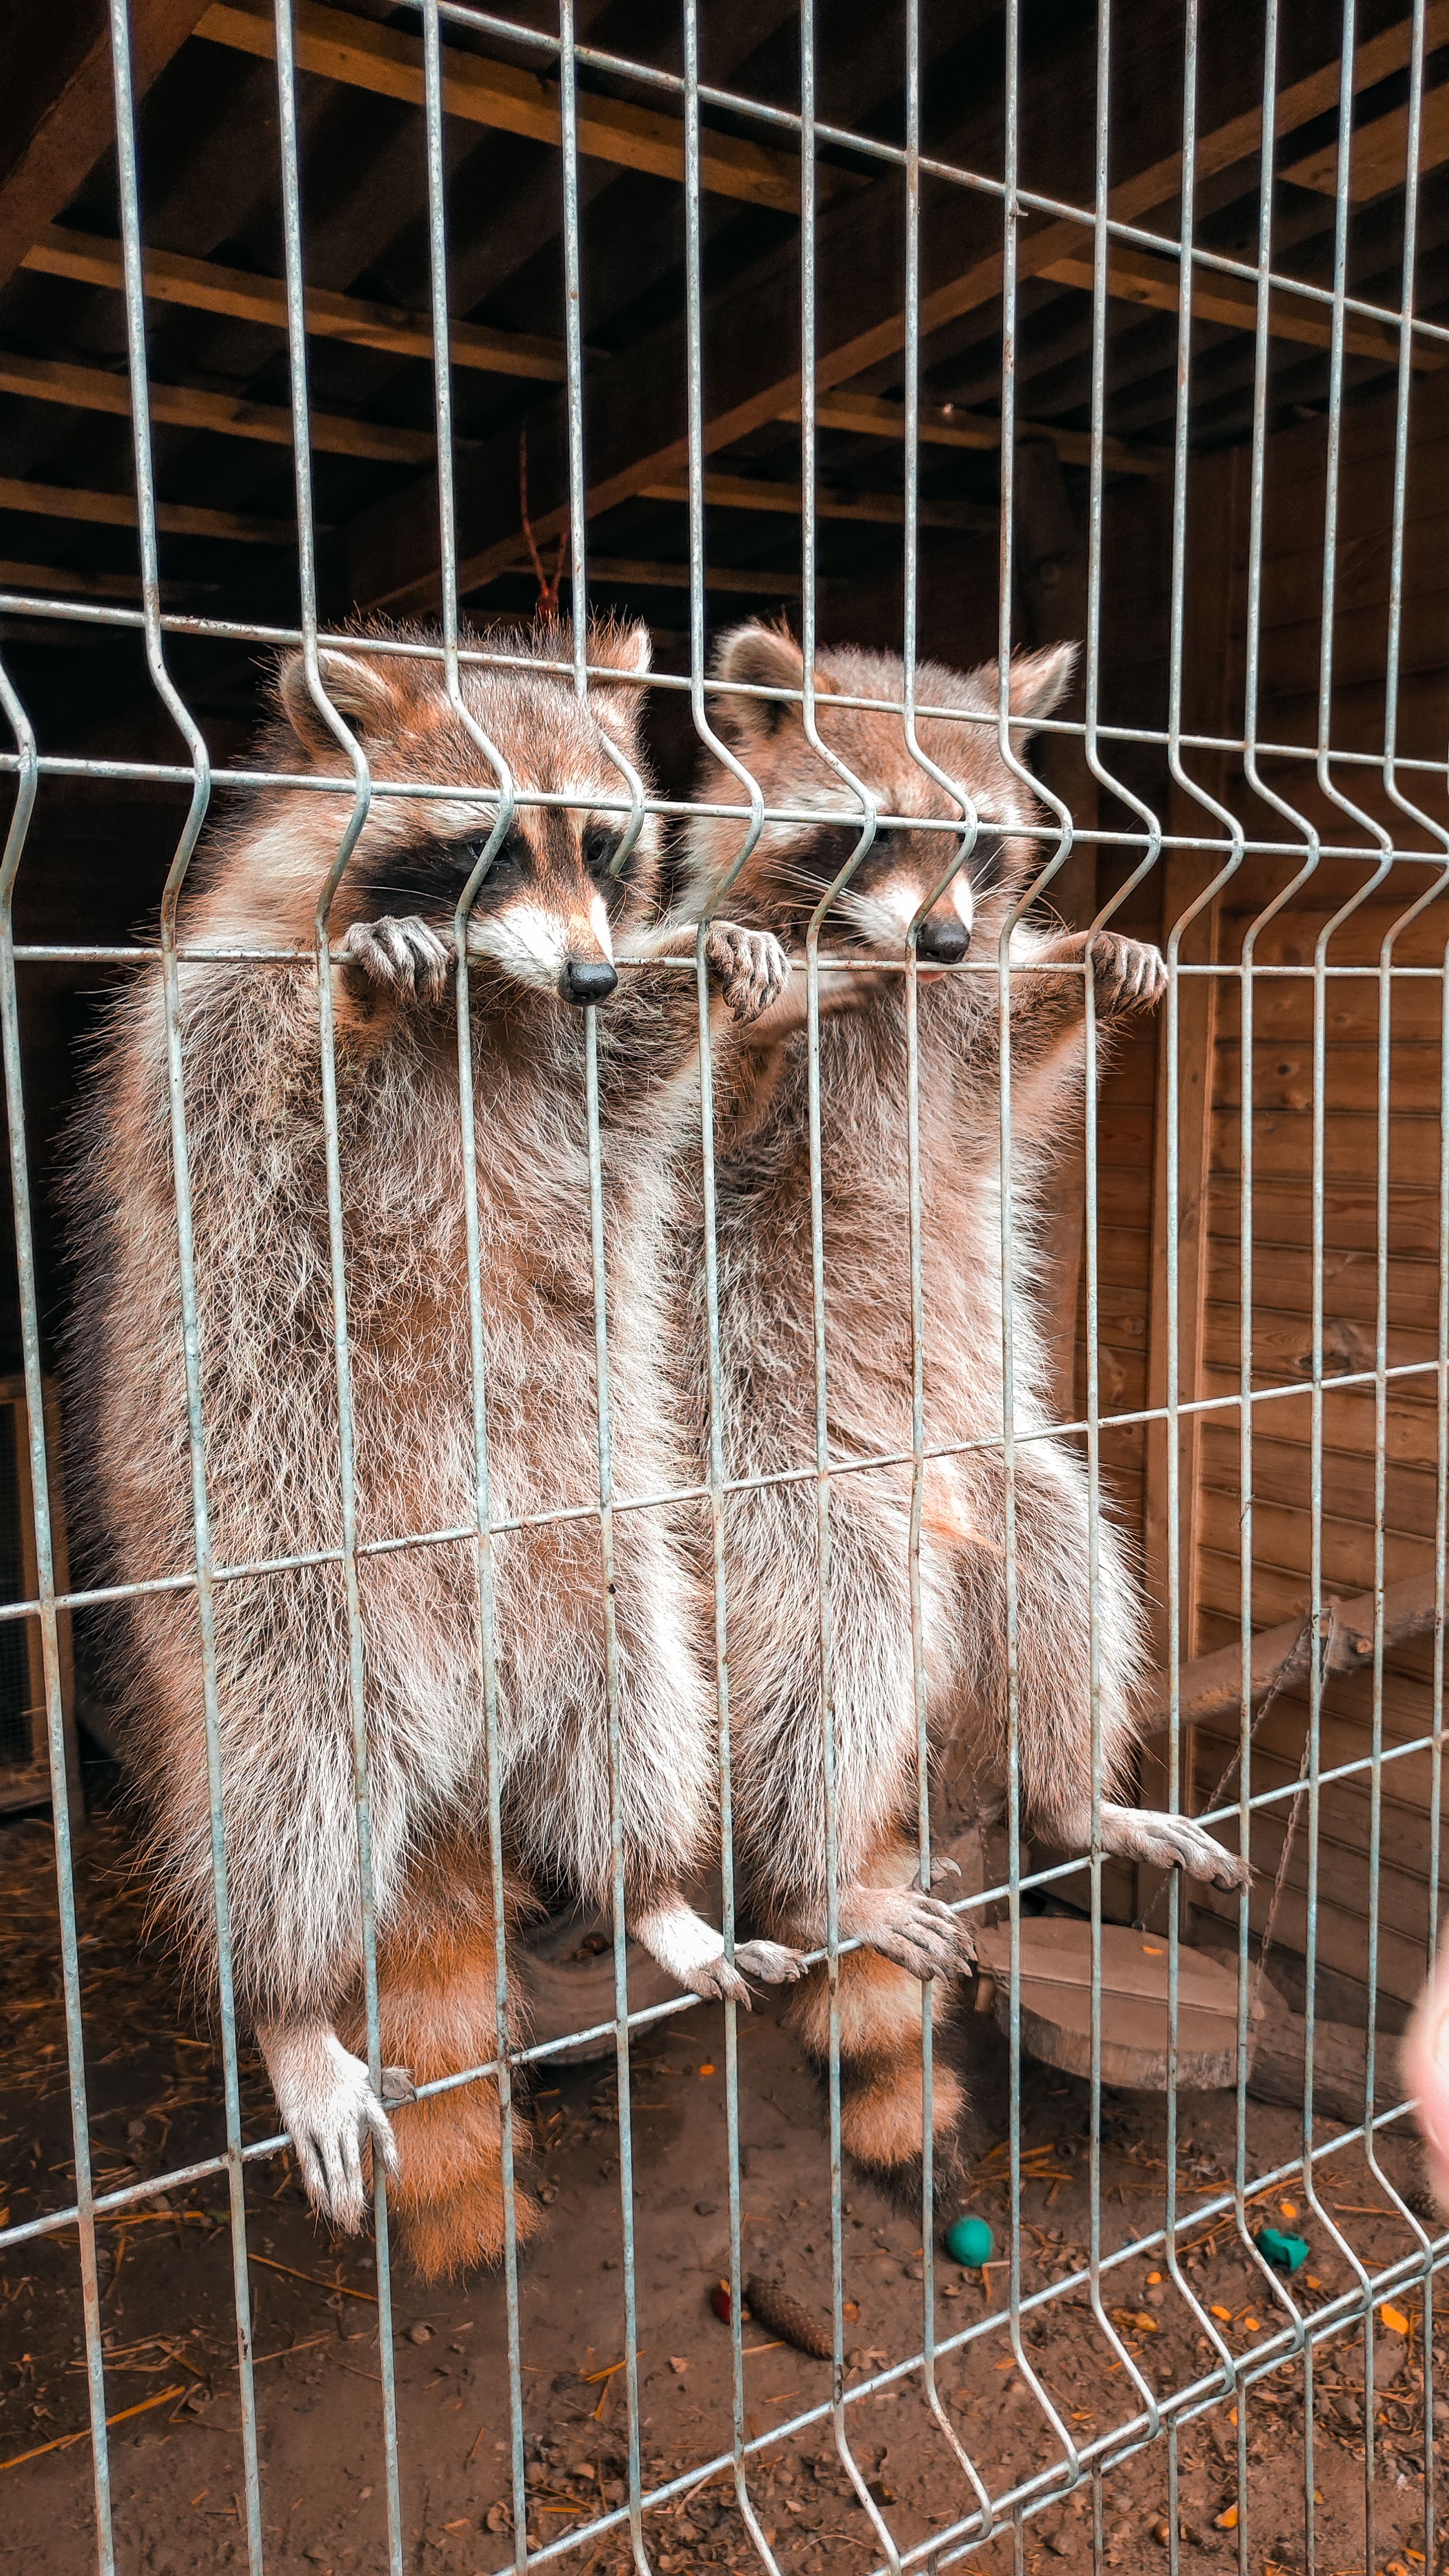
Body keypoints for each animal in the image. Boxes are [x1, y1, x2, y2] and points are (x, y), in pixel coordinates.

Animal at [64, 619, 798, 2277]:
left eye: (604, 843)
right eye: (487, 847)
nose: (594, 968)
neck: (483, 1004)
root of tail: (463, 1744)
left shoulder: (577, 1065)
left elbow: (627, 1089)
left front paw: (708, 971)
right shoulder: (205, 1023)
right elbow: (257, 1103)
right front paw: (356, 1008)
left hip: (598, 1558)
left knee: (643, 1700)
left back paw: (651, 1890)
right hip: (274, 1591)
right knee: (280, 1801)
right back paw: (291, 2007)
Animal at [676, 622, 1248, 2203]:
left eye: (981, 841)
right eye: (871, 829)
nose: (937, 939)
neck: (886, 977)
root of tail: (932, 1502)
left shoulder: (955, 1032)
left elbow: (1007, 1068)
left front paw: (1088, 965)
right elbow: (687, 1145)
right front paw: (748, 1010)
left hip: (991, 1459)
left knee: (1066, 1549)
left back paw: (1069, 1797)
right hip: (772, 1477)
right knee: (839, 1627)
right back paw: (822, 1884)